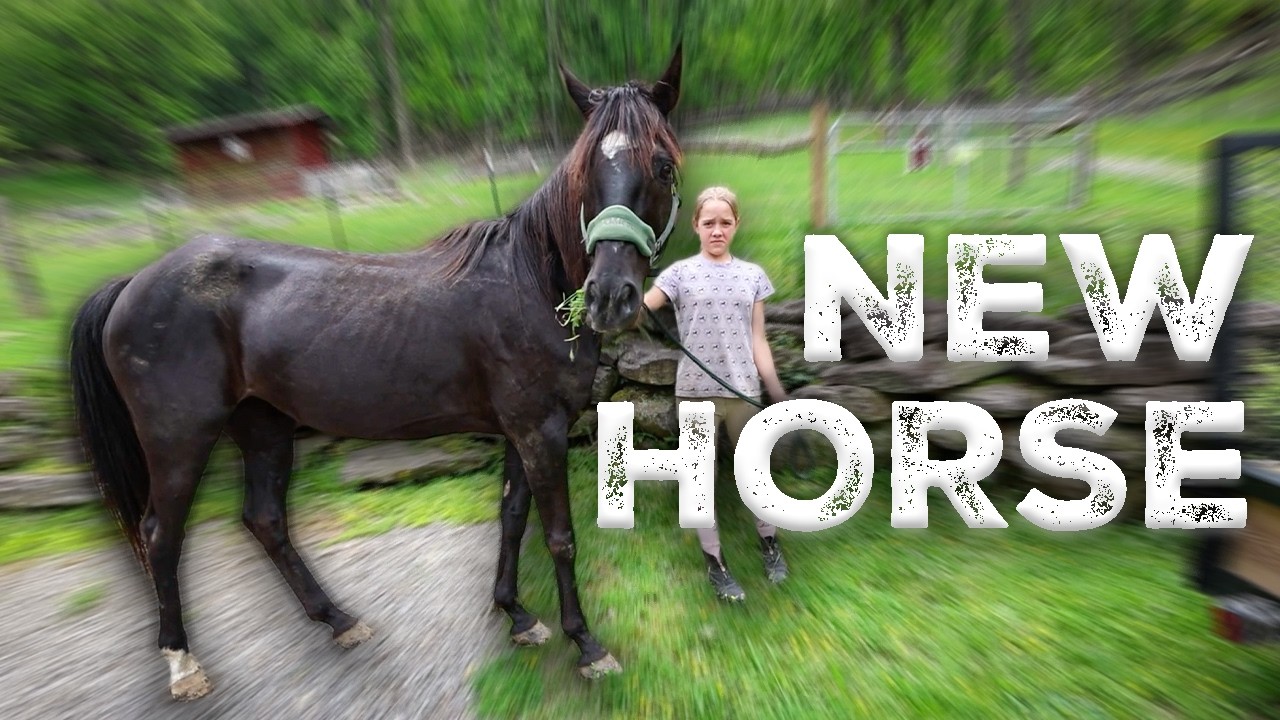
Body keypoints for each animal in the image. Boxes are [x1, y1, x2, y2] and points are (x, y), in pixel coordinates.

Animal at [68, 46, 684, 701]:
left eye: (663, 167)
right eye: (586, 171)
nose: (610, 297)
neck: (530, 283)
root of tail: (133, 283)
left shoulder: (525, 432)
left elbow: (512, 520)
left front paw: (517, 616)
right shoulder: (539, 432)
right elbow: (560, 538)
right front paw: (587, 645)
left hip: (264, 426)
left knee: (265, 520)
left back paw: (337, 620)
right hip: (179, 440)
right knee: (161, 535)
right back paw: (184, 665)